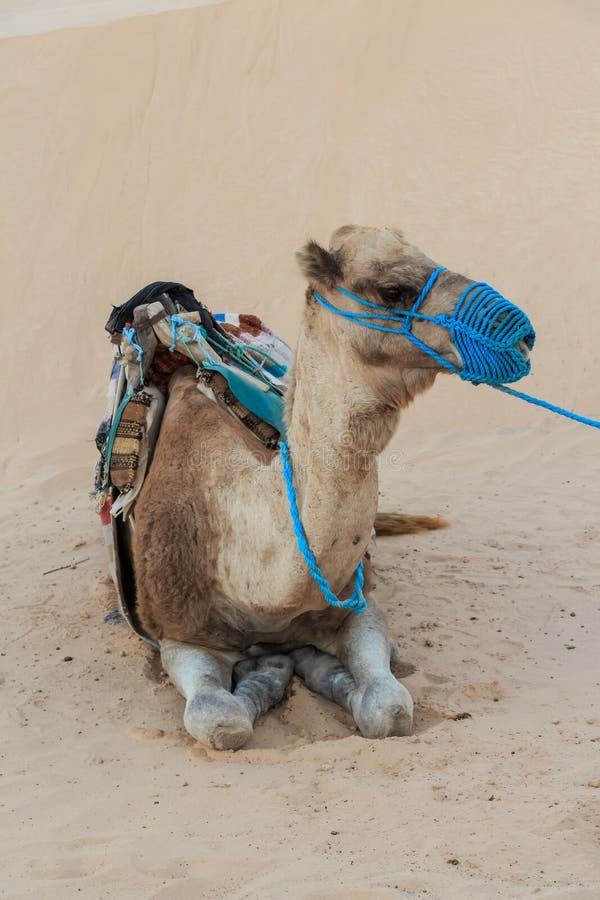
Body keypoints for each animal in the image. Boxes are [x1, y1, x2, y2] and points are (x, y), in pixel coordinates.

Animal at [131, 225, 476, 750]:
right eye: (393, 290)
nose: (522, 336)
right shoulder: (180, 634)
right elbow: (220, 720)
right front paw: (269, 671)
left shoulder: (356, 605)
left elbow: (390, 708)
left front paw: (314, 665)